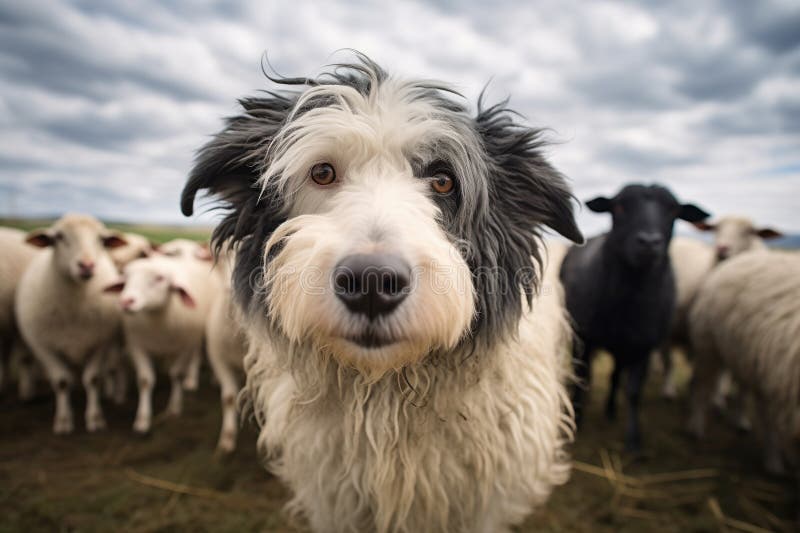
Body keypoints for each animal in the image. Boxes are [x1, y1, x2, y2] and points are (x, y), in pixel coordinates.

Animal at [15, 214, 127, 433]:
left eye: (101, 240)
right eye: (59, 237)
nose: (87, 266)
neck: (75, 304)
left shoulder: (100, 342)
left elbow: (92, 379)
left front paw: (95, 419)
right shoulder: (42, 345)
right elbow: (61, 381)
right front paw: (64, 421)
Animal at [104, 255, 219, 433]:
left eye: (159, 278)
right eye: (126, 277)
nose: (126, 302)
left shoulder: (185, 345)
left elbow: (176, 374)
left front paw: (173, 408)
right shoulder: (136, 345)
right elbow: (145, 380)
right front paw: (142, 420)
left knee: (196, 353)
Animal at [560, 184, 709, 452]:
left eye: (673, 210)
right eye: (619, 207)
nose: (649, 243)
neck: (629, 301)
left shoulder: (644, 346)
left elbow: (633, 391)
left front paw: (634, 440)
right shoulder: (586, 338)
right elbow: (584, 378)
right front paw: (577, 420)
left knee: (615, 376)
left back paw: (610, 409)